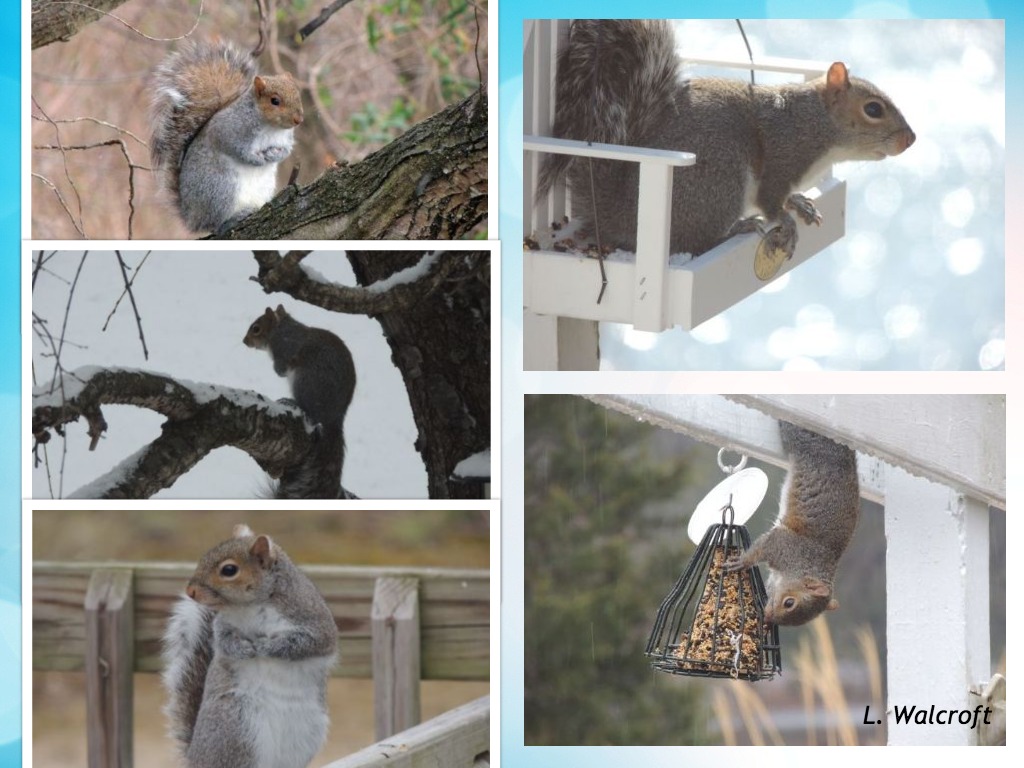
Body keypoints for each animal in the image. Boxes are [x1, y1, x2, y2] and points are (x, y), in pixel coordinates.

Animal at [150, 39, 304, 234]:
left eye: (297, 94)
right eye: (274, 101)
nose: (299, 120)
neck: (272, 128)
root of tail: (190, 217)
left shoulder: (285, 139)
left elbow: (287, 150)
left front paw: (275, 155)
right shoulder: (230, 130)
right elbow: (235, 149)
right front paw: (256, 160)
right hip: (221, 188)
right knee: (214, 224)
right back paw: (232, 219)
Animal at [162, 524, 338, 768]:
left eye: (229, 570)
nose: (191, 591)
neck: (249, 605)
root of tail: (195, 759)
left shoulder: (315, 622)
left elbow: (307, 643)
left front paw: (266, 647)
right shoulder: (222, 626)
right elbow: (224, 643)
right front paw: (243, 649)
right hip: (237, 728)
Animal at [244, 305, 357, 499]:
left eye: (256, 328)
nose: (244, 341)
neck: (280, 329)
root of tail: (334, 418)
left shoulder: (284, 348)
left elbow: (281, 367)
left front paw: (278, 371)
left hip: (305, 381)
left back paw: (291, 401)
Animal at [536, 20, 916, 259]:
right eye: (873, 109)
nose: (910, 140)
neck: (814, 122)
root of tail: (620, 216)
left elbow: (787, 198)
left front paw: (800, 203)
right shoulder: (784, 156)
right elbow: (770, 201)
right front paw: (786, 221)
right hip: (720, 177)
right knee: (695, 244)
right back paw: (738, 229)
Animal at [725, 421, 860, 626]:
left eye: (800, 622)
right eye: (789, 603)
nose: (769, 618)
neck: (803, 566)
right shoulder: (784, 545)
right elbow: (763, 546)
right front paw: (742, 562)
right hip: (803, 438)